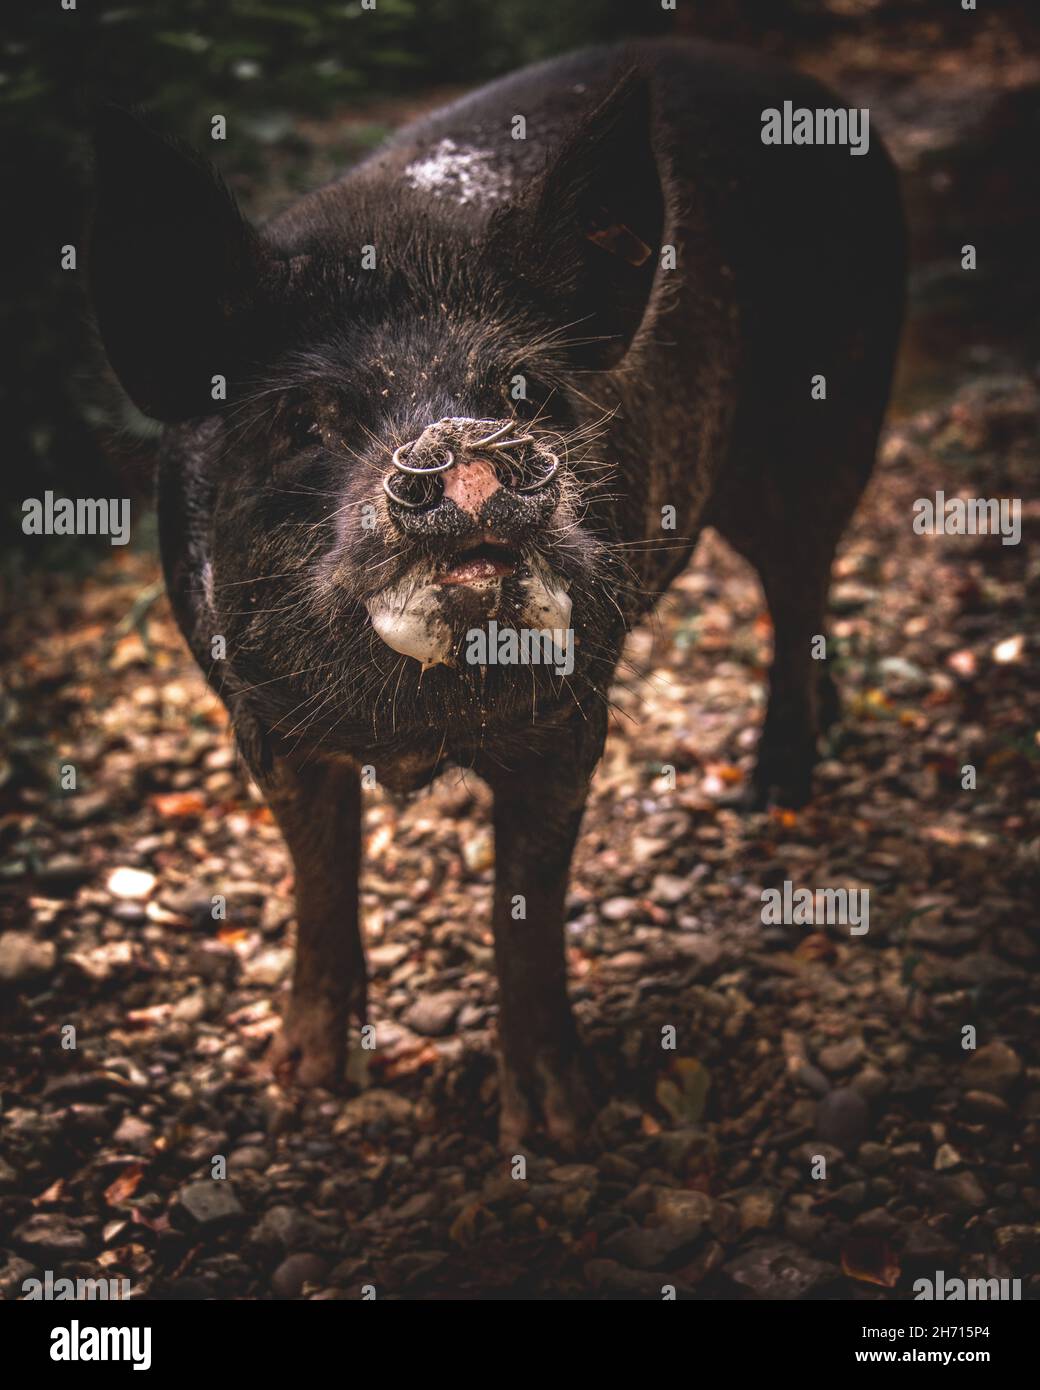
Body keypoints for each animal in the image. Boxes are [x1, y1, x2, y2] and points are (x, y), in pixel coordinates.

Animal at [89, 39, 905, 1150]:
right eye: (307, 417)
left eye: (520, 390)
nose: (463, 443)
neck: (415, 730)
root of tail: (821, 101)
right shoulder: (262, 719)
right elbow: (320, 878)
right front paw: (305, 1084)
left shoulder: (570, 719)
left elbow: (527, 905)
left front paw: (561, 1124)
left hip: (830, 416)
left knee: (799, 582)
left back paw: (769, 790)